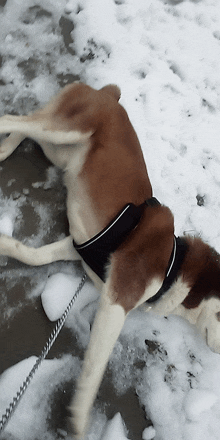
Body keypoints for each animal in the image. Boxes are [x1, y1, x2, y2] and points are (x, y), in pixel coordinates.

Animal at [0, 82, 220, 436]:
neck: (173, 265)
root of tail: (107, 92)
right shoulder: (118, 298)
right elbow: (96, 365)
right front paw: (79, 416)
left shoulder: (80, 245)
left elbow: (34, 256)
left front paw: (3, 244)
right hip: (65, 129)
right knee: (10, 118)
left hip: (59, 150)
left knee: (22, 128)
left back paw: (4, 150)